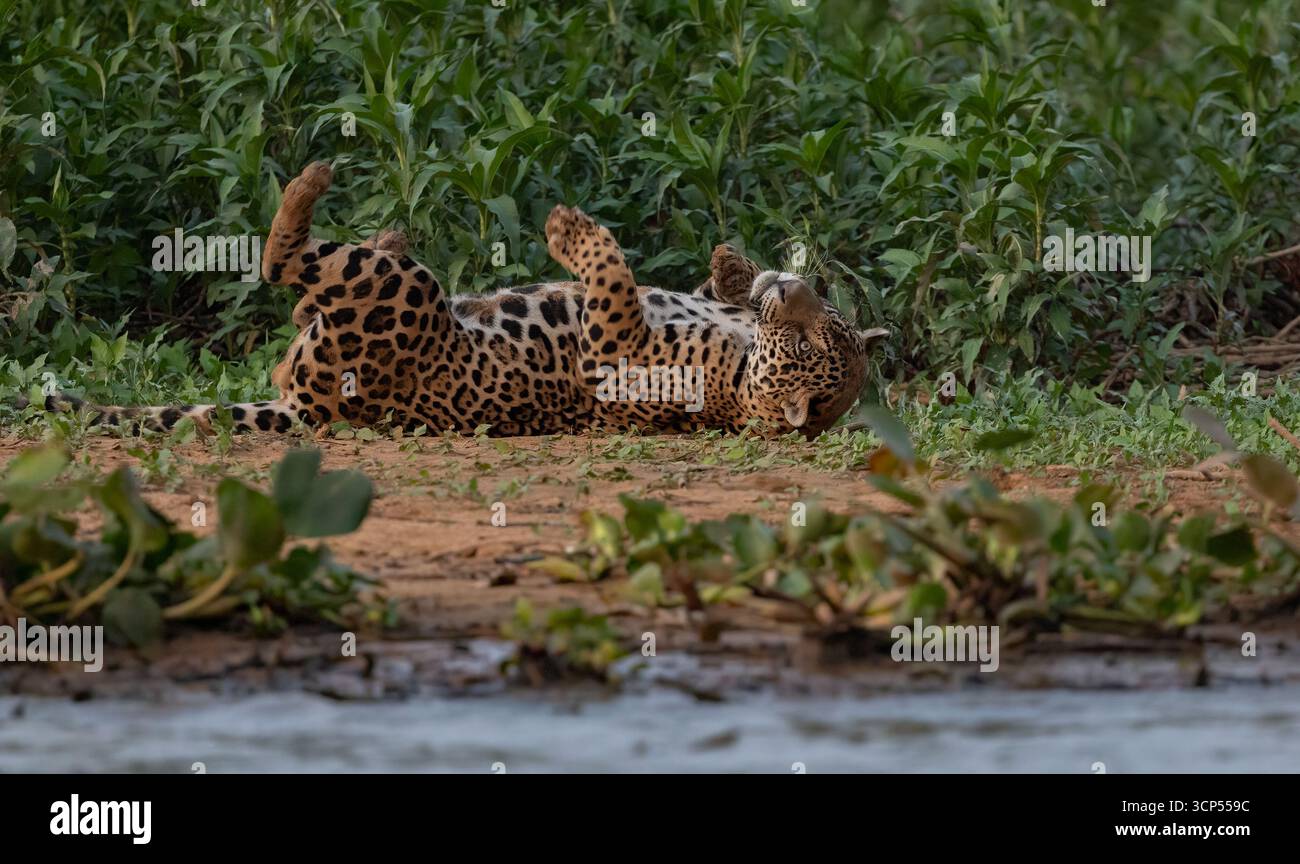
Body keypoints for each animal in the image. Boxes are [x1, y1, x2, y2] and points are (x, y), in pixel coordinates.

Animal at [39, 161, 886, 438]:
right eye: (824, 325)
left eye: (809, 349)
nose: (794, 286)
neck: (739, 368)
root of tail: (316, 408)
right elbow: (703, 284)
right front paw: (735, 264)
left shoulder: (618, 351)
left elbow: (610, 270)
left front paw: (567, 227)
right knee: (299, 305)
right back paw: (385, 228)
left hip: (397, 296)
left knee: (287, 264)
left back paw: (311, 188)